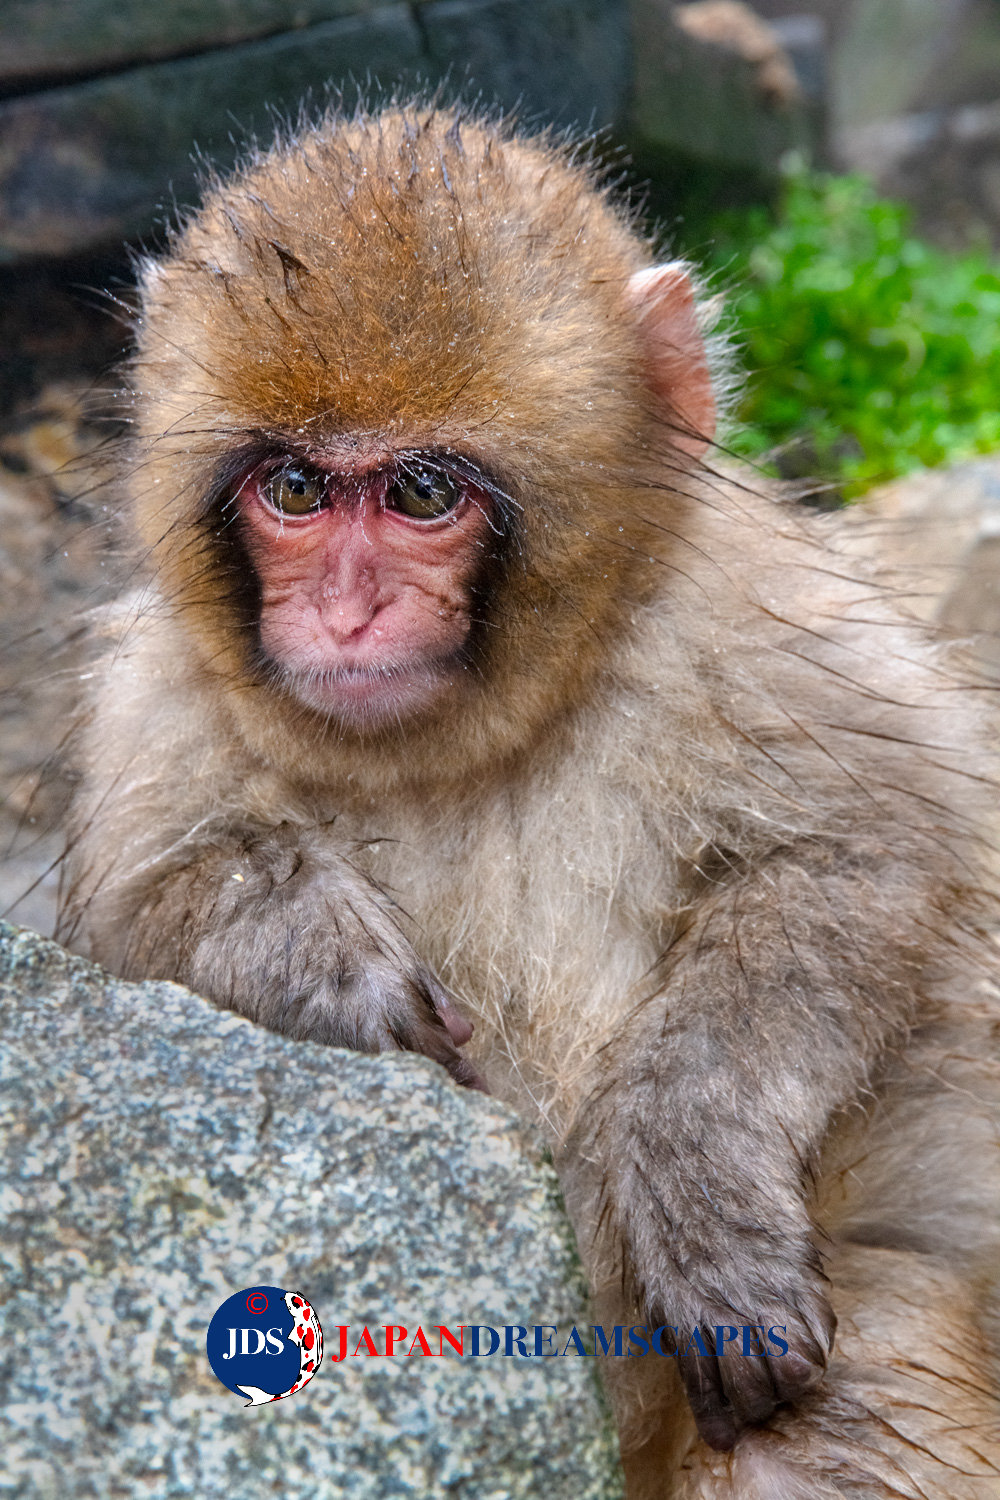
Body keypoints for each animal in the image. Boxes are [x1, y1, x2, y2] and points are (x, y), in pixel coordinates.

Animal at [56, 105, 1000, 1497]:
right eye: (296, 490)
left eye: (419, 494)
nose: (345, 612)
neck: (450, 750)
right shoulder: (155, 705)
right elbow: (133, 914)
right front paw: (314, 951)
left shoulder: (747, 609)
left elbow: (867, 850)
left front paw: (688, 1163)